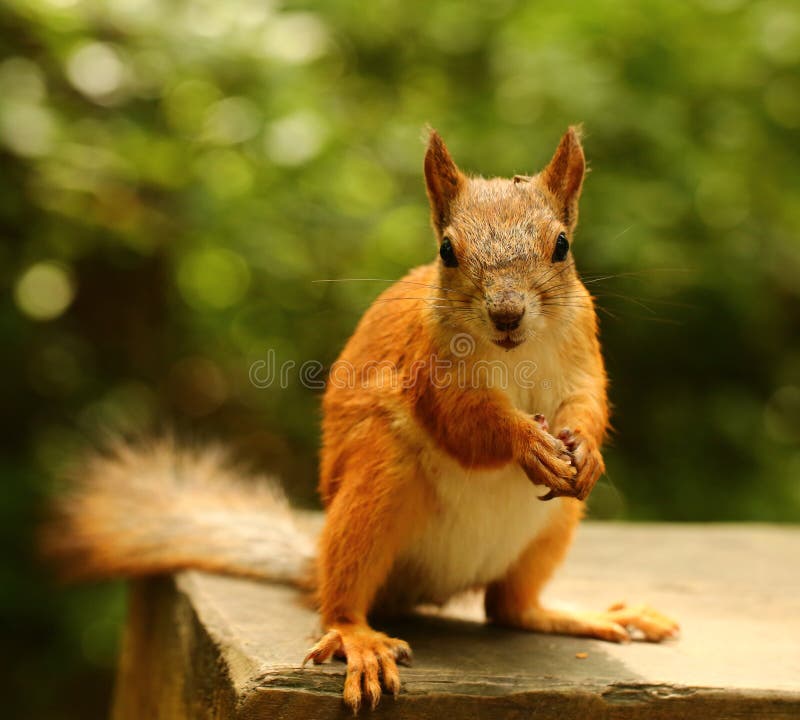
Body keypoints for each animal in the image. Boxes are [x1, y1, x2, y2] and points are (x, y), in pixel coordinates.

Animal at [44, 127, 679, 713]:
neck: (513, 352)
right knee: (348, 597)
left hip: (554, 526)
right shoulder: (431, 370)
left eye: (561, 245)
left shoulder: (581, 351)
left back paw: (587, 614)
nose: (505, 315)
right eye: (447, 250)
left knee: (510, 608)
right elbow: (467, 423)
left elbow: (589, 400)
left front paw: (586, 450)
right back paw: (358, 639)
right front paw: (526, 440)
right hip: (379, 479)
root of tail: (434, 584)